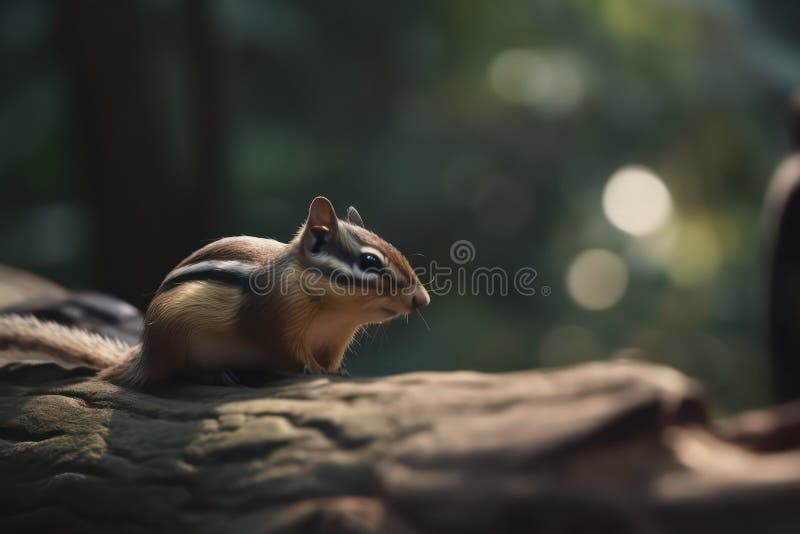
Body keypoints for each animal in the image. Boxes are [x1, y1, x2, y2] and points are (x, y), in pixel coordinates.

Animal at [0, 197, 430, 387]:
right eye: (370, 262)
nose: (421, 299)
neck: (335, 313)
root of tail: (145, 353)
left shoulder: (335, 339)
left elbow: (332, 360)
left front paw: (337, 371)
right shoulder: (276, 321)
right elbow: (289, 353)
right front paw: (312, 370)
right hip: (174, 335)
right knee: (175, 372)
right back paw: (213, 373)